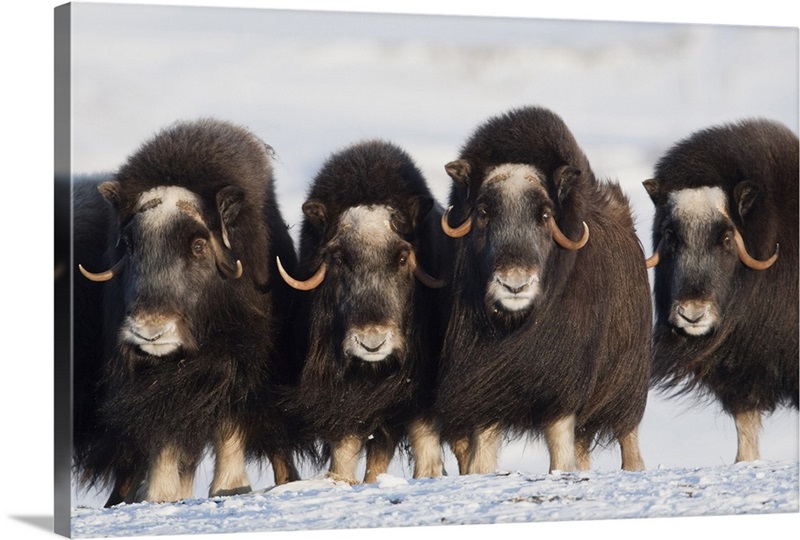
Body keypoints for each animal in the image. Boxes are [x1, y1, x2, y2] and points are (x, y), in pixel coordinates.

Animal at [72, 118, 306, 506]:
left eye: (198, 245)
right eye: (130, 245)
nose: (149, 330)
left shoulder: (238, 363)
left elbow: (229, 425)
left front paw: (230, 489)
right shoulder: (152, 385)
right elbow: (163, 435)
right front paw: (160, 497)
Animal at [276, 140, 446, 484]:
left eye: (402, 257)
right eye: (340, 258)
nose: (372, 342)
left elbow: (425, 445)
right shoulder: (342, 399)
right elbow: (344, 451)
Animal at [434, 106, 651, 474]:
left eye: (545, 214)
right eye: (483, 212)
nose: (514, 284)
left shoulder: (562, 395)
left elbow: (560, 455)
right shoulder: (484, 396)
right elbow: (481, 460)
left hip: (627, 396)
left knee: (630, 443)